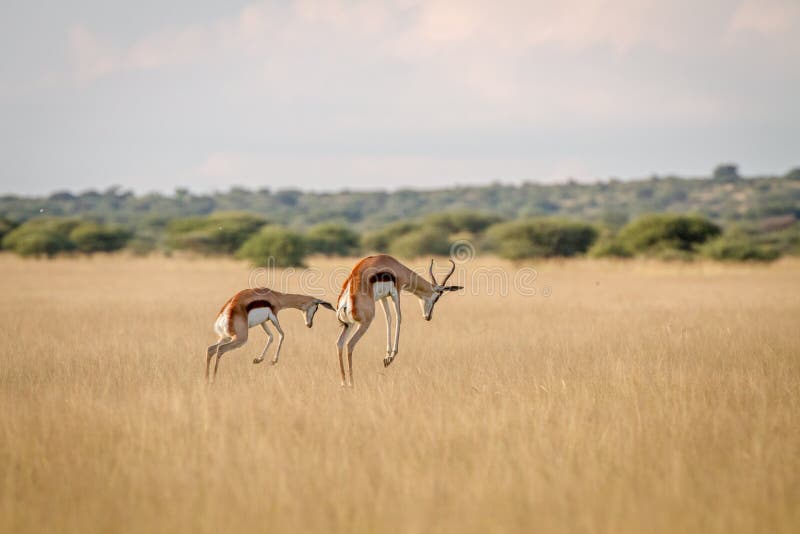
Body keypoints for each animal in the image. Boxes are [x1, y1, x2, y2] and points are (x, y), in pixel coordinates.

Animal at [336, 254, 462, 386]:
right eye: (437, 298)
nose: (428, 317)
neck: (397, 267)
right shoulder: (396, 292)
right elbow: (399, 317)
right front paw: (392, 356)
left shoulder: (383, 297)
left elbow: (388, 318)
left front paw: (387, 357)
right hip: (364, 323)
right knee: (350, 344)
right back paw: (351, 383)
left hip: (349, 324)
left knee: (339, 343)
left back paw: (344, 383)